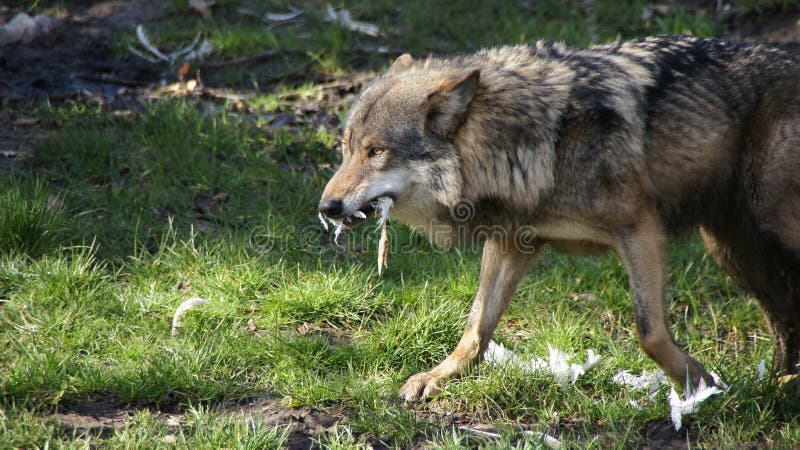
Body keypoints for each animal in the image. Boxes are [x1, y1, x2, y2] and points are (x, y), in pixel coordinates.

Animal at [318, 35, 800, 401]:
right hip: (733, 252)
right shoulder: (512, 242)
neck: (535, 142)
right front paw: (439, 376)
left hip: (770, 226)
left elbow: (649, 331)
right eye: (346, 147)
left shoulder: (642, 230)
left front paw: (699, 384)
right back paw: (782, 384)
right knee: (785, 316)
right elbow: (476, 326)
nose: (327, 207)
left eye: (376, 151)